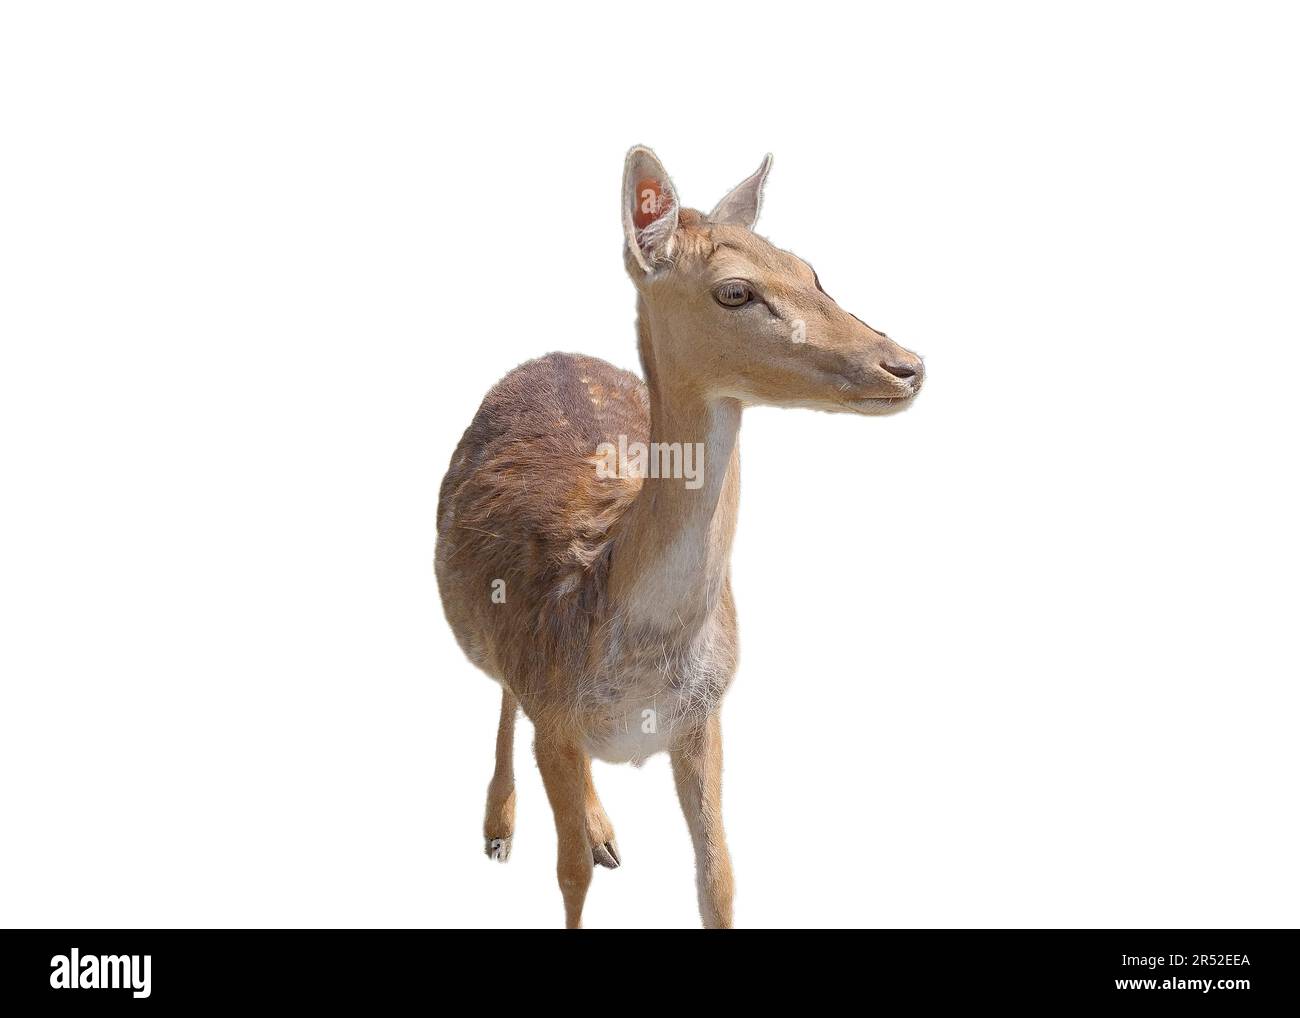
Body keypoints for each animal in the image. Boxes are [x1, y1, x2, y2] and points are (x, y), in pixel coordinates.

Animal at [434, 146, 925, 928]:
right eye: (735, 291)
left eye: (808, 269)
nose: (906, 365)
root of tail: (549, 354)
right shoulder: (552, 705)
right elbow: (569, 875)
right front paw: (556, 847)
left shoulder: (704, 717)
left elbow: (717, 876)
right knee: (505, 695)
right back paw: (499, 826)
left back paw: (599, 828)